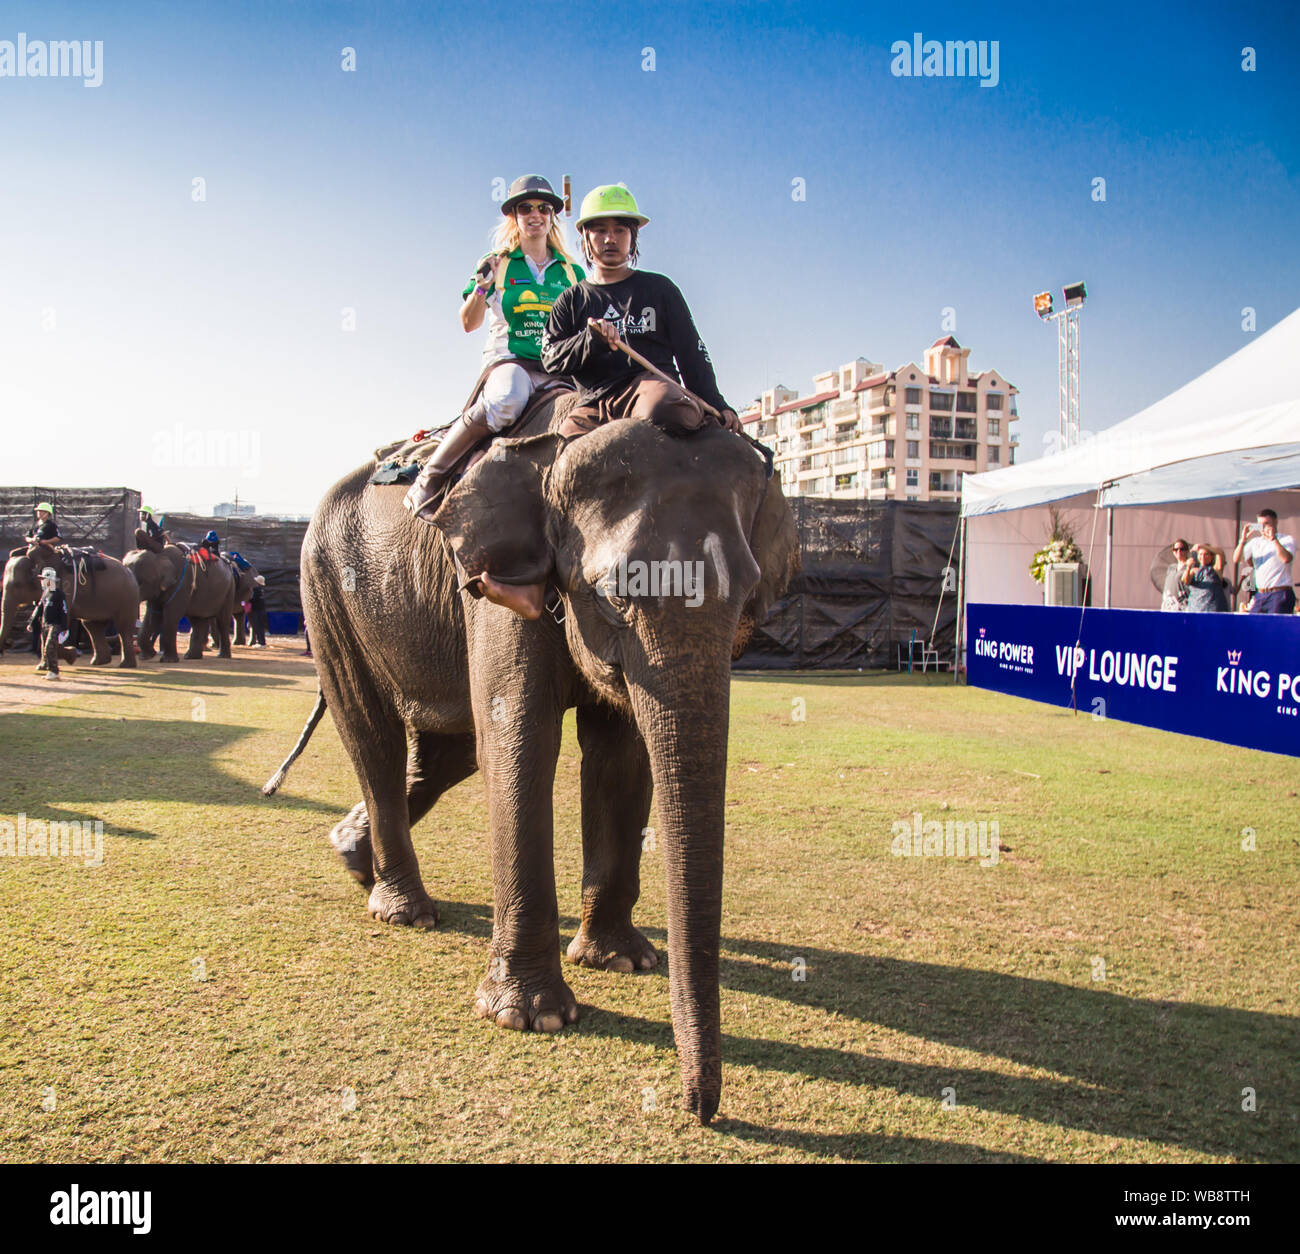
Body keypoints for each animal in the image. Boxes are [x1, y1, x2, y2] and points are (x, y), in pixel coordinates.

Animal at [0, 548, 140, 668]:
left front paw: (71, 655)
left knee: (123, 627)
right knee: (92, 626)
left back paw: (125, 665)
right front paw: (42, 666)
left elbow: (60, 620)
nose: (9, 642)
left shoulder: (65, 587)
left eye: (17, 585)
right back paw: (99, 662)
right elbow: (44, 622)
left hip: (127, 598)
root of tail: (129, 572)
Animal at [276, 401, 797, 1123]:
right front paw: (531, 1018)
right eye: (611, 597)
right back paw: (405, 911)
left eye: (747, 598)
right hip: (326, 589)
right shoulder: (497, 582)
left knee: (444, 751)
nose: (700, 1109)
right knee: (372, 732)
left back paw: (354, 858)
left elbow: (619, 752)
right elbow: (518, 730)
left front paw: (618, 961)